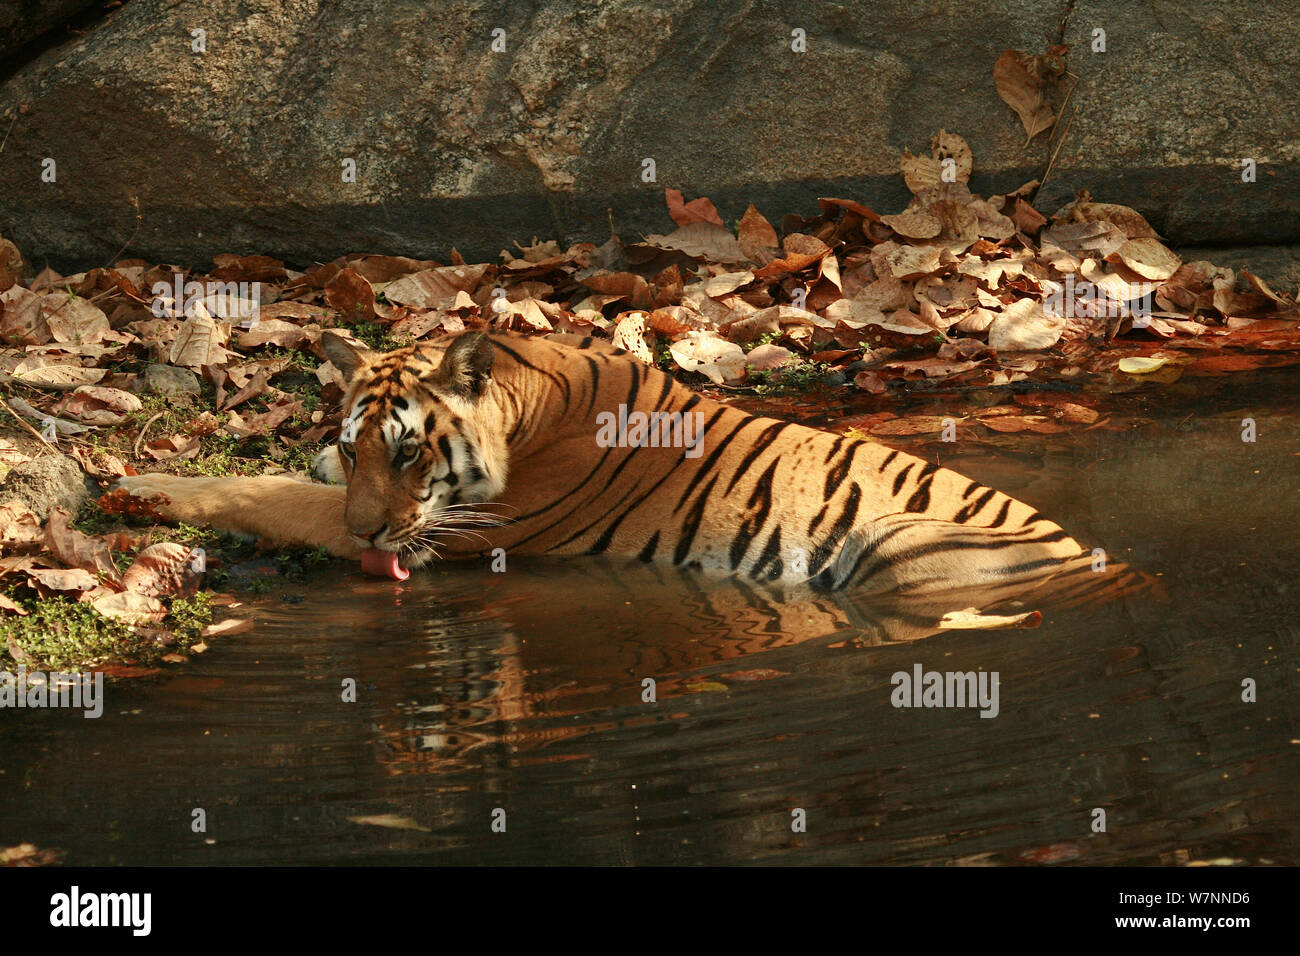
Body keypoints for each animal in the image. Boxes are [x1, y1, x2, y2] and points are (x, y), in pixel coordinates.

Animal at [113, 329, 1096, 597]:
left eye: (408, 454)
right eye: (359, 450)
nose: (370, 538)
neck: (525, 408)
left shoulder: (468, 530)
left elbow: (269, 493)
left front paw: (141, 488)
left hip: (899, 540)